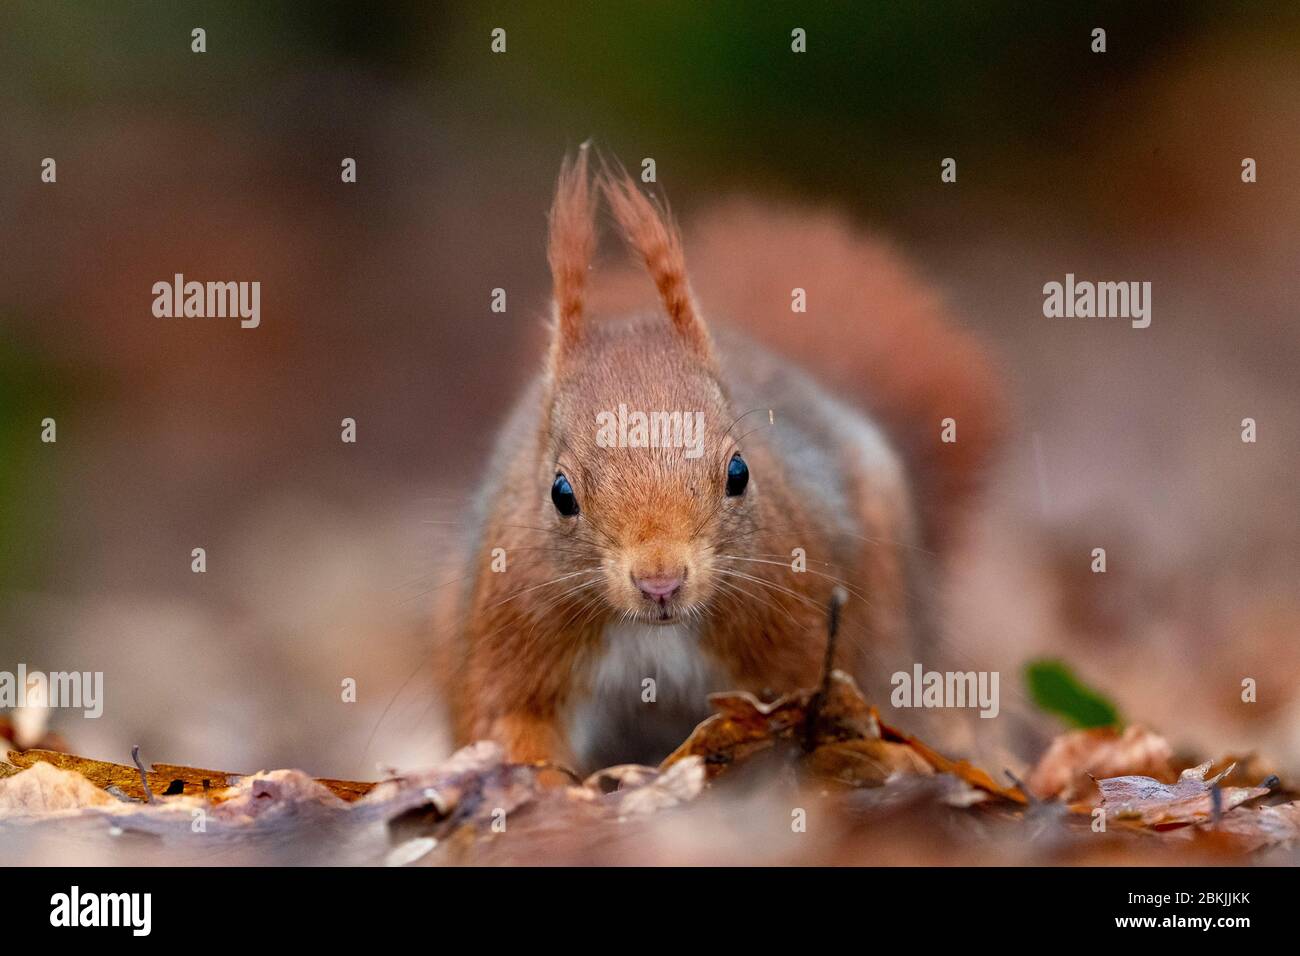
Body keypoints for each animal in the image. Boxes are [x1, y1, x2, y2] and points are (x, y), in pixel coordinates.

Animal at [442, 148, 1004, 771]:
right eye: (561, 494)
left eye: (739, 472)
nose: (660, 583)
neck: (652, 634)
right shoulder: (516, 639)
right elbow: (514, 728)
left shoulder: (795, 626)